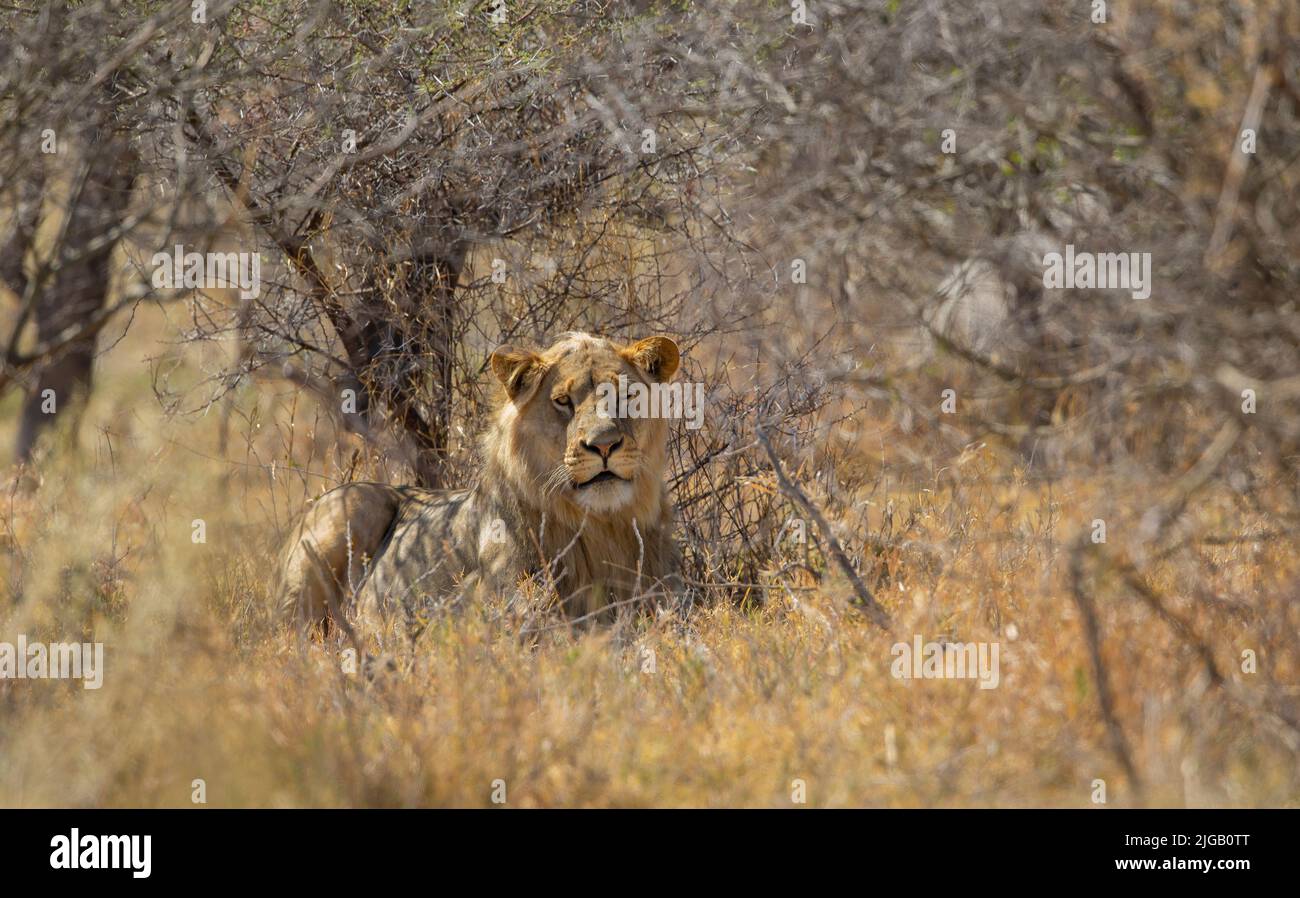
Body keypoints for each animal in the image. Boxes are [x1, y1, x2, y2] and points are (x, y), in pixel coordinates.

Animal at [275, 332, 684, 631]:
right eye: (563, 401)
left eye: (628, 396)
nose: (603, 444)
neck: (603, 526)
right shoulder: (477, 600)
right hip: (351, 506)